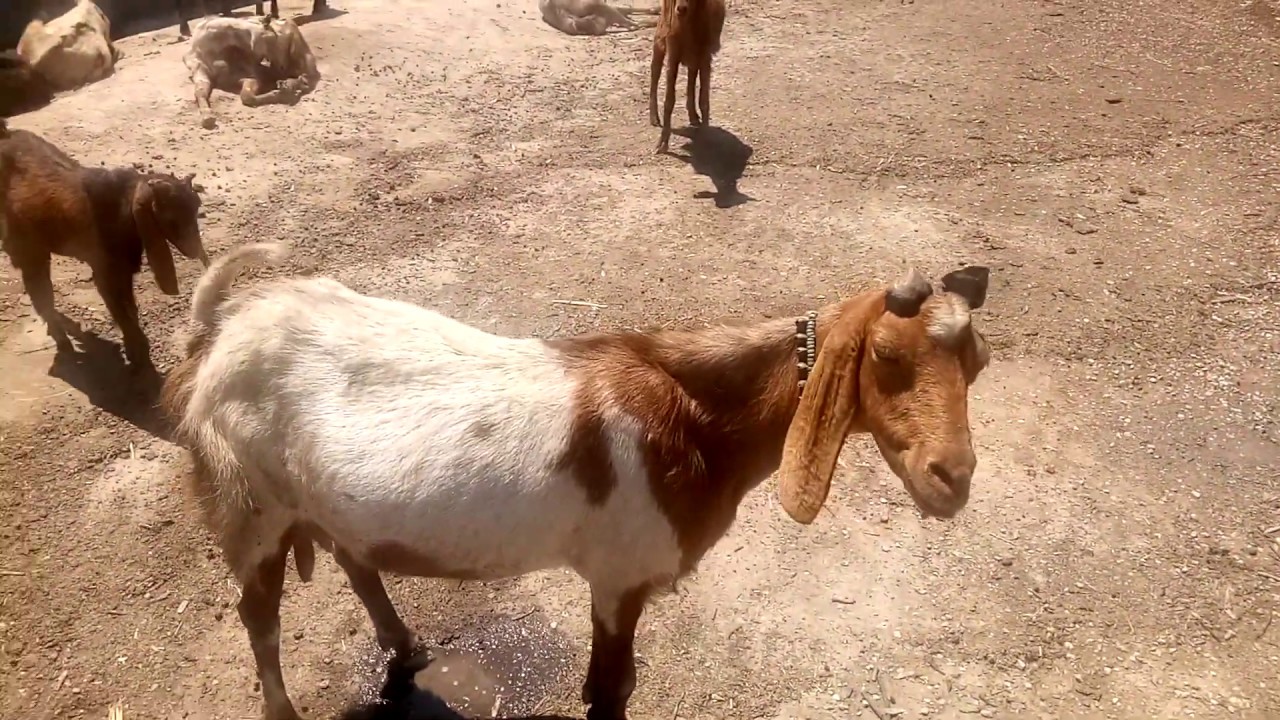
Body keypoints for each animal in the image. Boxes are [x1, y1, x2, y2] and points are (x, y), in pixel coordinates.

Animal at [0, 124, 208, 374]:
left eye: (196, 208)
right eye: (172, 217)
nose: (195, 250)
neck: (123, 209)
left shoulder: (124, 269)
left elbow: (130, 308)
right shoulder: (106, 272)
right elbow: (121, 311)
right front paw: (139, 356)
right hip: (28, 248)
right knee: (41, 293)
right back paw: (63, 342)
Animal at [161, 242, 993, 720]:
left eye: (978, 363)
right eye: (884, 354)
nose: (952, 478)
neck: (696, 417)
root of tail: (220, 329)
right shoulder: (618, 576)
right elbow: (610, 689)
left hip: (322, 502)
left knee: (350, 556)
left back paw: (405, 647)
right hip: (250, 505)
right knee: (259, 615)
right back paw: (284, 709)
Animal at [183, 15, 320, 130]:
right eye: (273, 40)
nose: (284, 68)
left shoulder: (250, 76)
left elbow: (247, 96)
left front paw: (286, 90)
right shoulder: (202, 74)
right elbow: (201, 92)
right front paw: (207, 117)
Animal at [648, 0, 725, 154]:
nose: (681, 9)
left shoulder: (705, 57)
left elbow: (704, 100)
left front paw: (706, 136)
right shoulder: (673, 54)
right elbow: (669, 100)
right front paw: (662, 143)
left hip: (694, 58)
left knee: (691, 77)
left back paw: (693, 116)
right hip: (660, 38)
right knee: (655, 72)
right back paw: (654, 118)